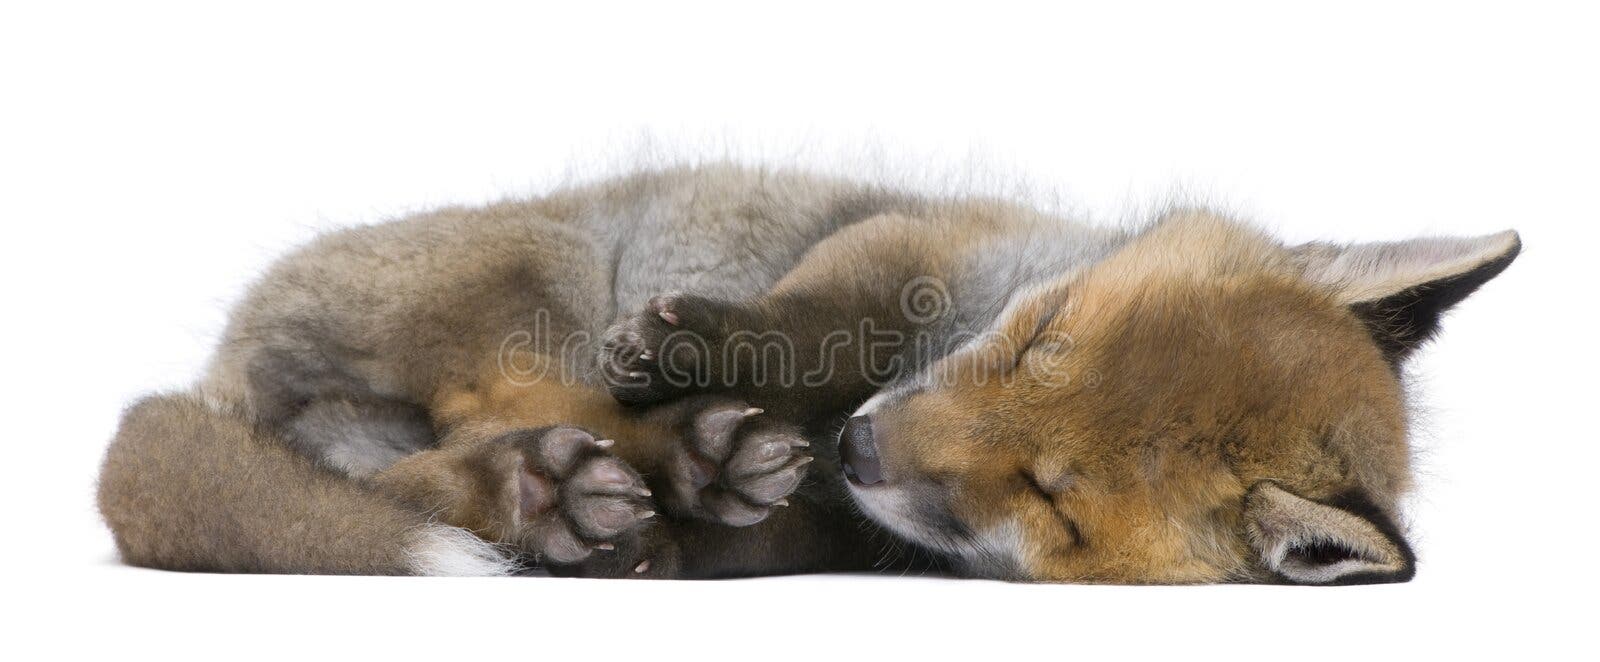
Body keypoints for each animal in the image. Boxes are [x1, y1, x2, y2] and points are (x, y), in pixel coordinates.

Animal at [98, 163, 1519, 584]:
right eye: (1039, 335)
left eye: (1051, 496)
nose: (862, 450)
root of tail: (214, 367)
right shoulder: (915, 243)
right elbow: (814, 317)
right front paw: (701, 352)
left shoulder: (840, 526)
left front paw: (705, 484)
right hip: (533, 296)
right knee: (479, 426)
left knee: (422, 479)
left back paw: (590, 493)